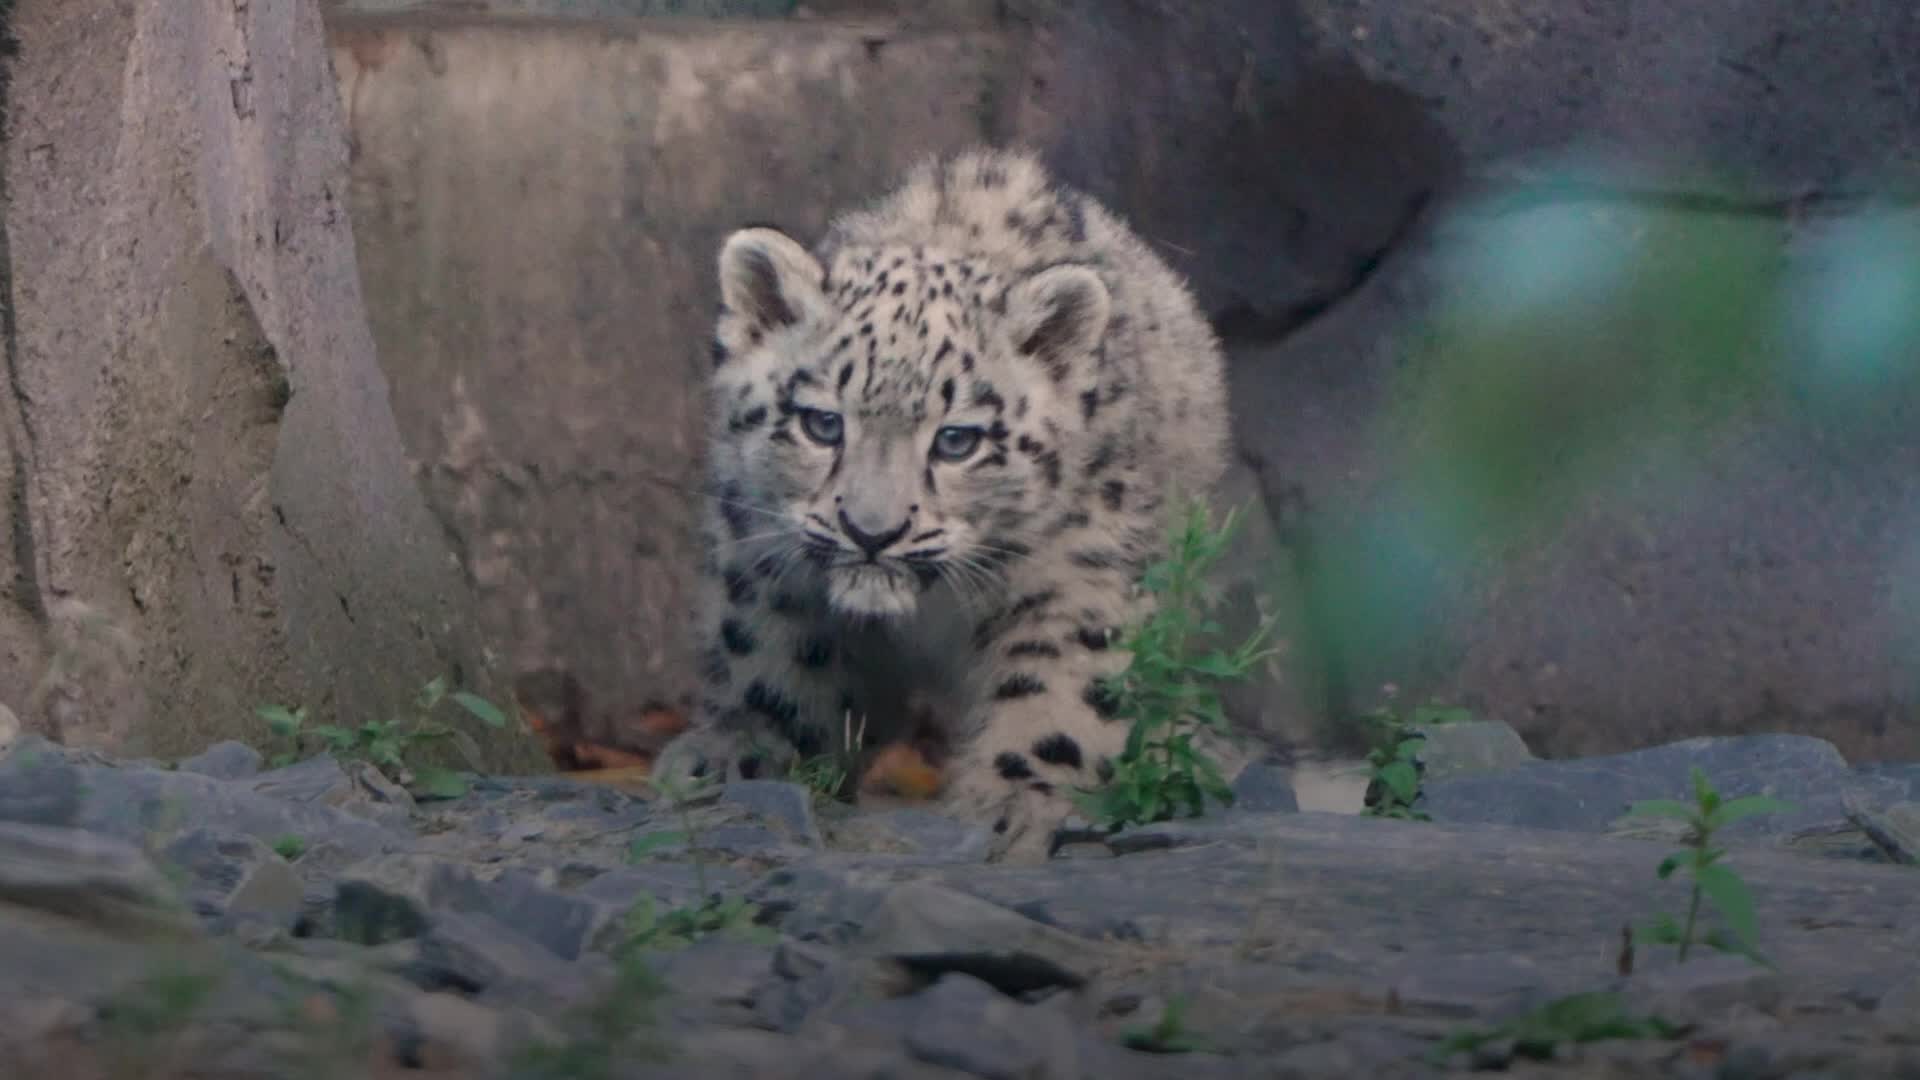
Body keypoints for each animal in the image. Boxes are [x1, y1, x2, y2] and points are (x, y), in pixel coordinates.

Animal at [652, 146, 1231, 860]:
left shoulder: (1078, 570)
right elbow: (772, 651)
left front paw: (1016, 800)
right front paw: (740, 749)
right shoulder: (761, 546)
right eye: (822, 423)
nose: (871, 532)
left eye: (957, 440)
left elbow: (1061, 685)